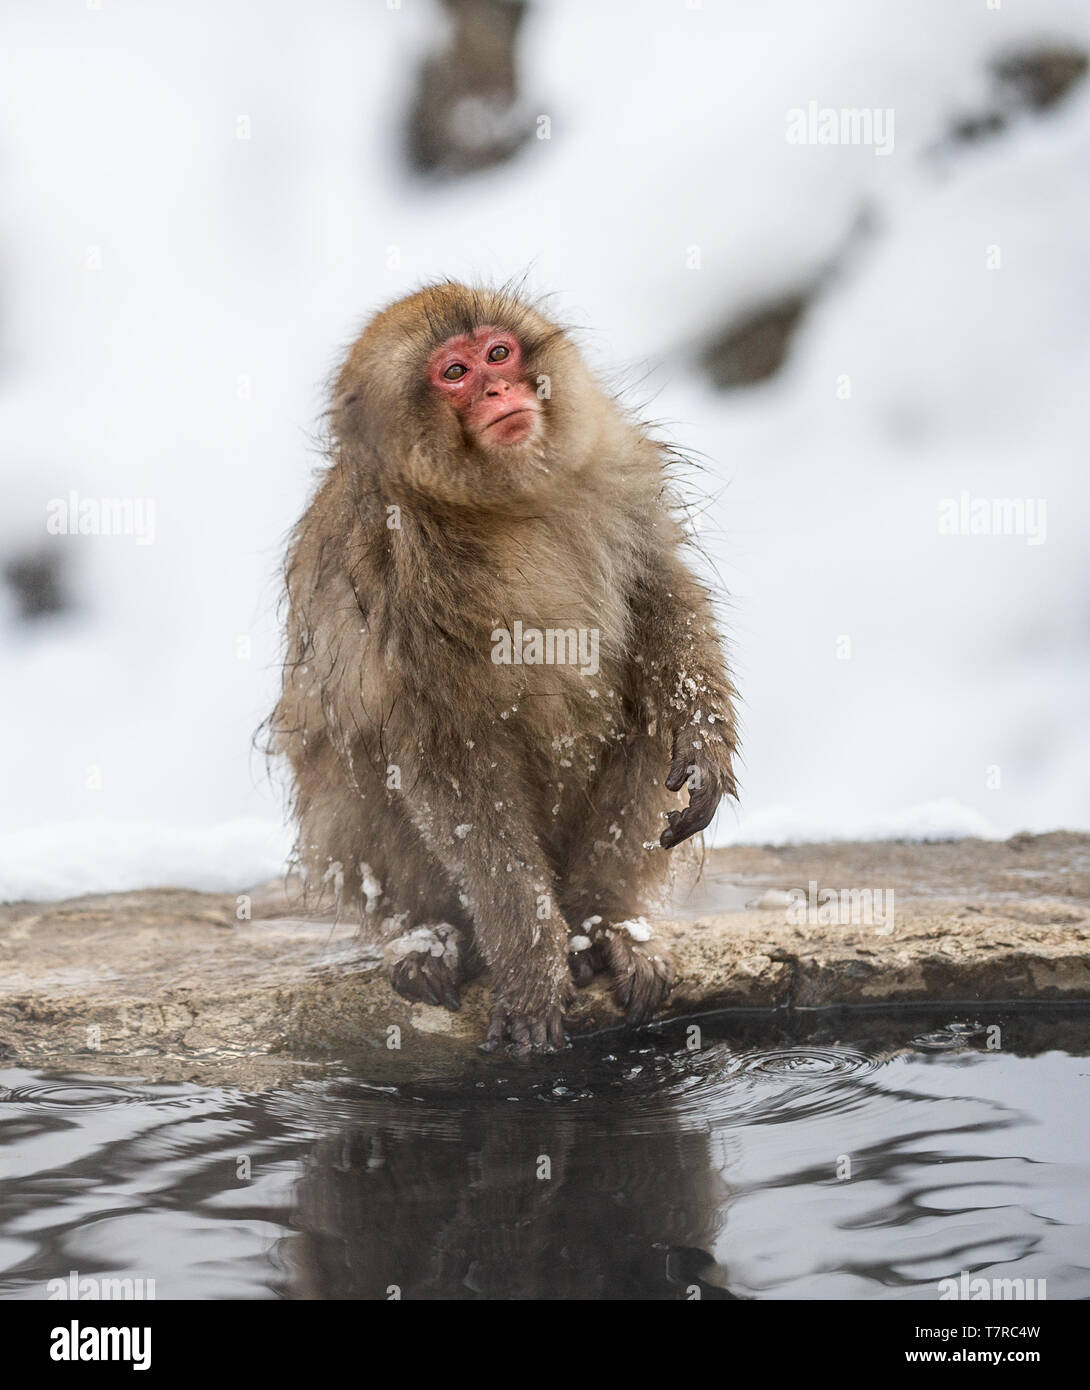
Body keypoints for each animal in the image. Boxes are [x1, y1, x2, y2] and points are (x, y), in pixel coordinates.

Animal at [268, 282, 739, 1056]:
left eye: (498, 352)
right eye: (454, 373)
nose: (499, 389)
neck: (502, 504)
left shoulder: (621, 476)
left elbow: (662, 600)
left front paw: (703, 746)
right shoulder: (394, 572)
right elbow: (451, 769)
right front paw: (530, 963)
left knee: (643, 709)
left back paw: (604, 926)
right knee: (354, 770)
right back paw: (429, 938)